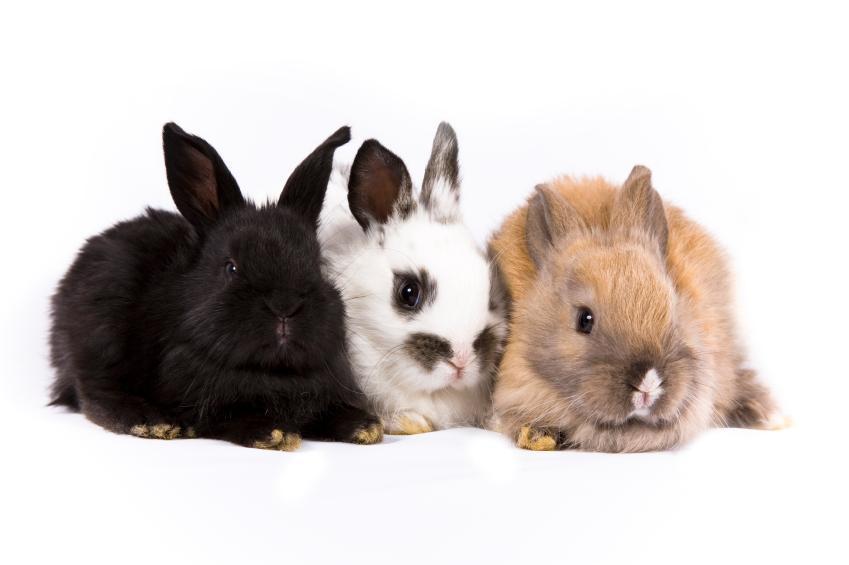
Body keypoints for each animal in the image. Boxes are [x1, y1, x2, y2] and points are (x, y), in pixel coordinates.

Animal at [48, 122, 383, 450]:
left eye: (317, 263)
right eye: (231, 267)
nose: (284, 306)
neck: (271, 370)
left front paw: (366, 427)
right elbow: (225, 418)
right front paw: (272, 432)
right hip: (100, 334)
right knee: (94, 393)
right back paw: (152, 421)